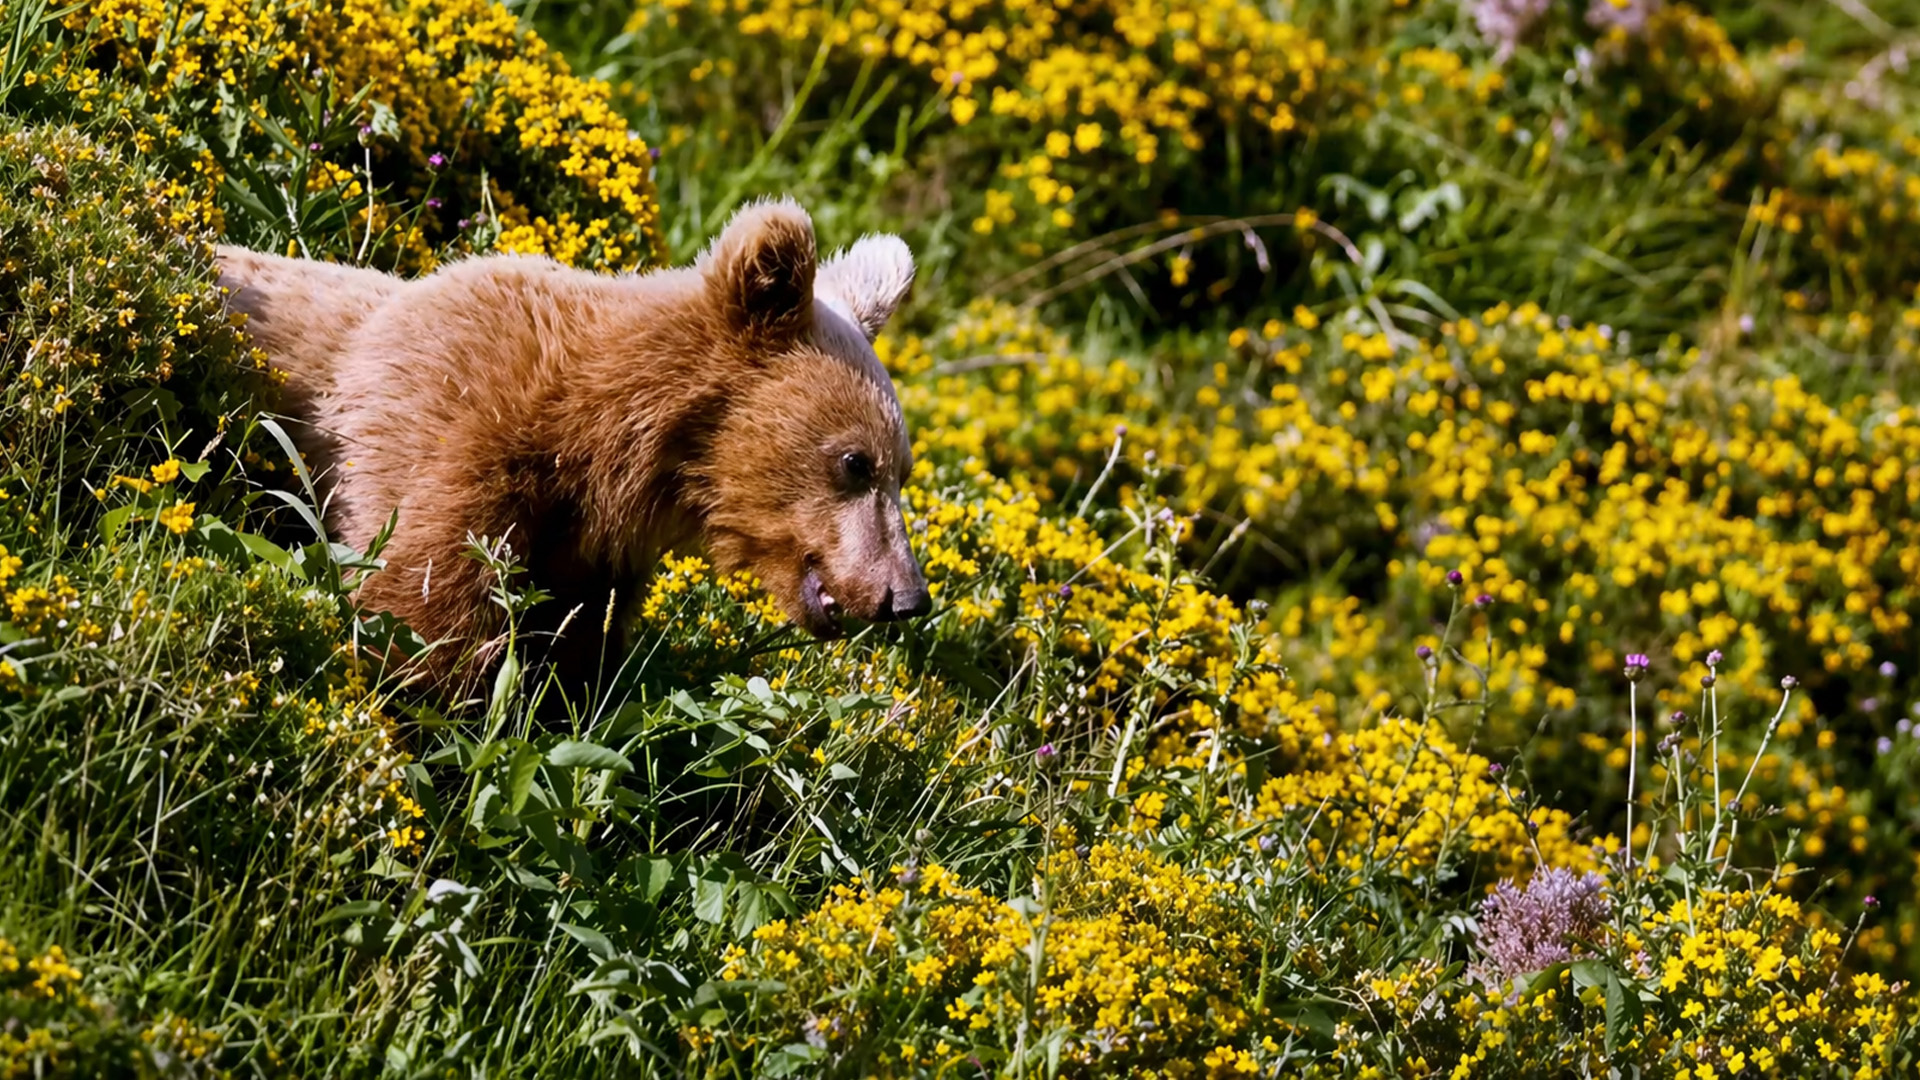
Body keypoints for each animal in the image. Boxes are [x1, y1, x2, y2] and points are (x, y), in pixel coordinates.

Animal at [214, 198, 932, 694]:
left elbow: (576, 650)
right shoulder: (446, 419)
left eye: (900, 470)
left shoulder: (587, 560)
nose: (906, 598)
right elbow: (419, 599)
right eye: (855, 462)